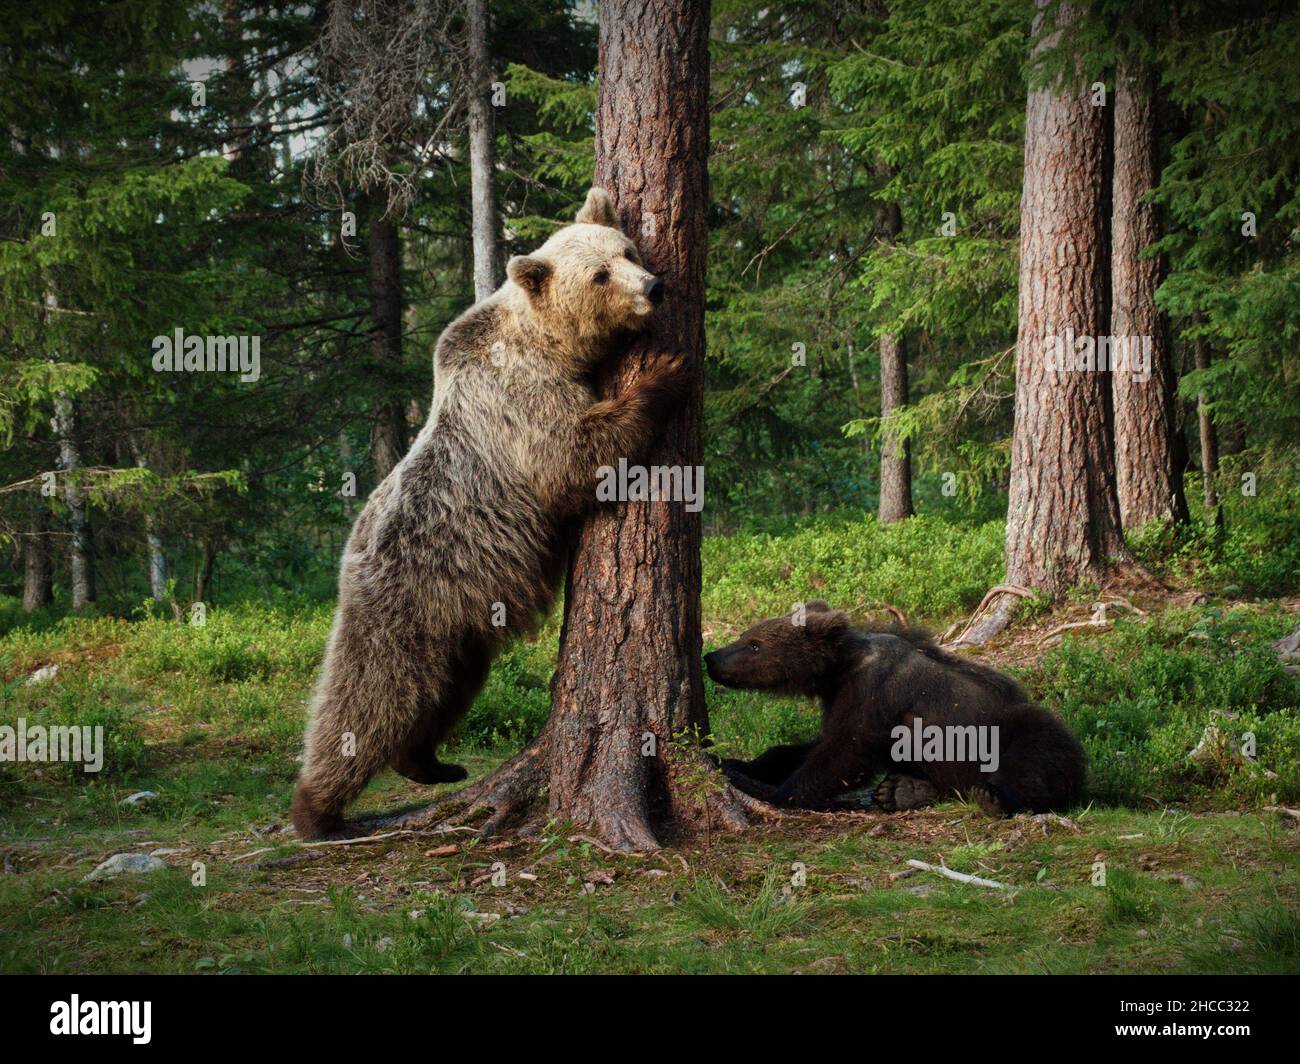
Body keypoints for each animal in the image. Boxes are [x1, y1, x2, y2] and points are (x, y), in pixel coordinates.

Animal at [291, 187, 681, 839]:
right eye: (600, 275)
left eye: (625, 250)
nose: (651, 286)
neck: (549, 342)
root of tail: (348, 558)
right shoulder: (518, 397)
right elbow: (572, 456)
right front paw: (662, 377)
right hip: (402, 602)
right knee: (368, 696)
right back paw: (316, 810)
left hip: (462, 619)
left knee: (447, 689)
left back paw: (429, 762)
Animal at [704, 601, 1086, 815]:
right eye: (746, 636)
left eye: (755, 644)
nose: (711, 656)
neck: (840, 670)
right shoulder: (840, 699)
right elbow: (806, 746)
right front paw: (736, 763)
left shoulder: (875, 695)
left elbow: (843, 753)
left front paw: (774, 791)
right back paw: (903, 791)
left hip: (1005, 727)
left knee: (1034, 748)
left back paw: (996, 798)